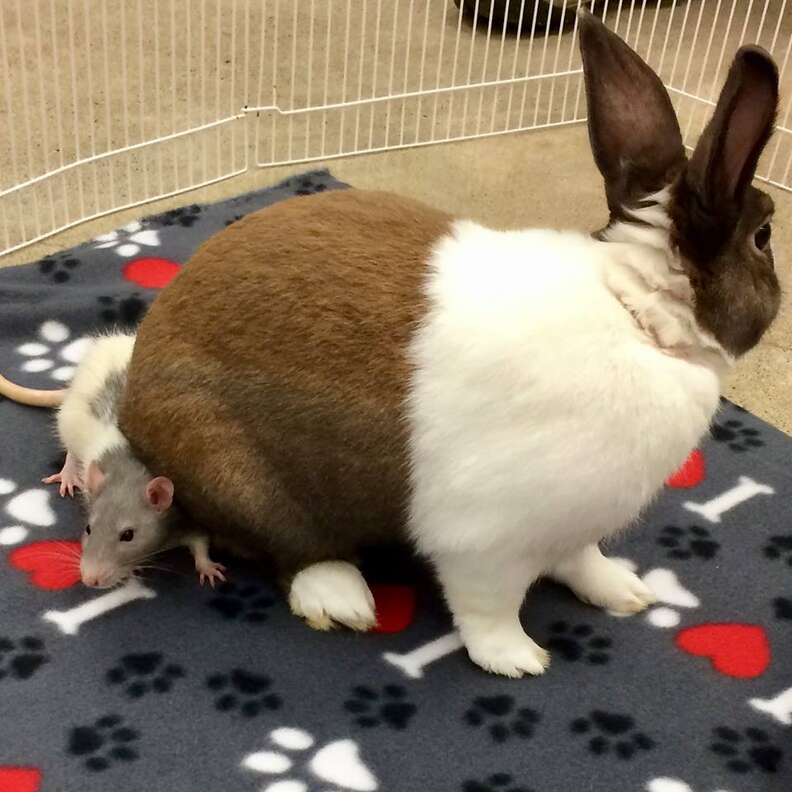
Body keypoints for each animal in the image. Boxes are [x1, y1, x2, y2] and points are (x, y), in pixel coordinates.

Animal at [119, 11, 780, 677]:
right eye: (766, 236)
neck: (637, 313)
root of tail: (132, 407)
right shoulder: (486, 540)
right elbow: (489, 607)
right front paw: (519, 660)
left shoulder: (572, 525)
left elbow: (581, 561)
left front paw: (623, 591)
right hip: (242, 477)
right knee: (291, 551)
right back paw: (342, 599)